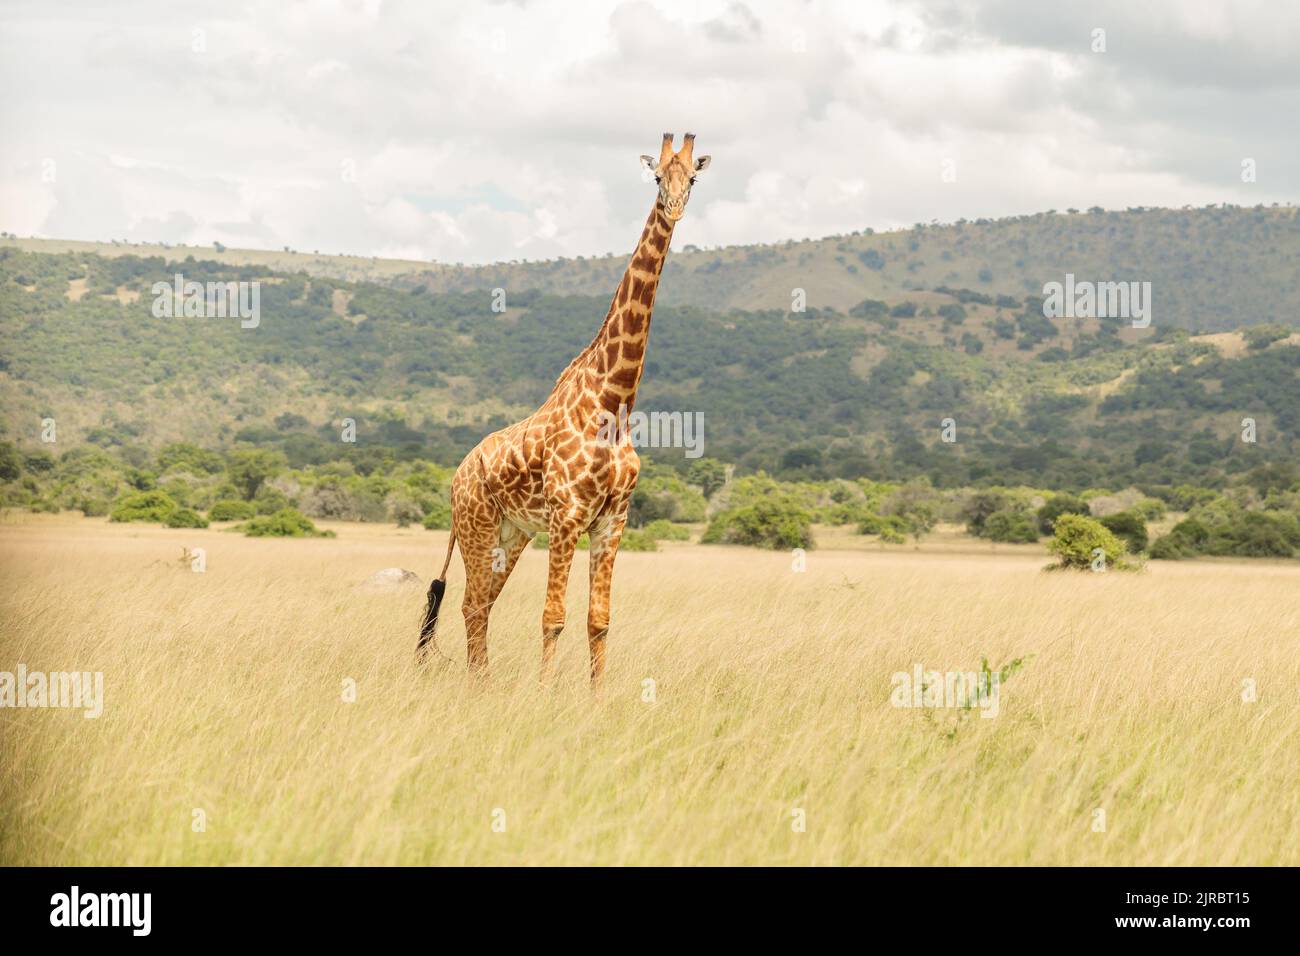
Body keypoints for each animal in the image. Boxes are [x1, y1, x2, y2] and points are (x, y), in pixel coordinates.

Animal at [417, 133, 711, 686]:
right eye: (656, 176)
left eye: (693, 178)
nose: (674, 207)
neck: (614, 400)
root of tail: (457, 475)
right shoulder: (567, 515)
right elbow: (553, 616)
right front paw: (546, 693)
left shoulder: (612, 519)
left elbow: (599, 620)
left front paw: (596, 698)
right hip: (476, 527)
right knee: (471, 604)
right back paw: (478, 686)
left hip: (510, 535)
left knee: (479, 606)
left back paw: (482, 685)